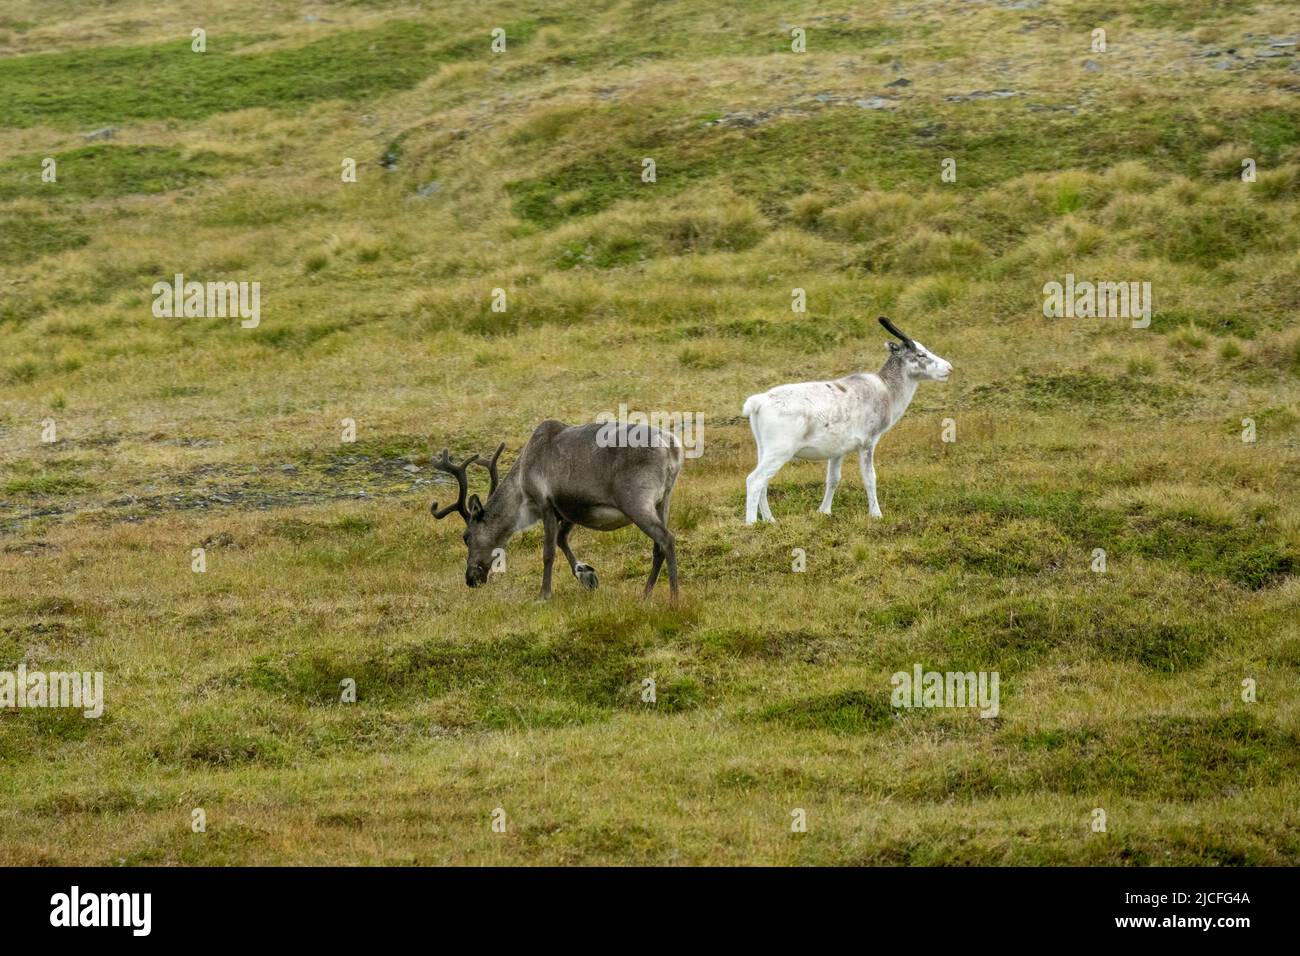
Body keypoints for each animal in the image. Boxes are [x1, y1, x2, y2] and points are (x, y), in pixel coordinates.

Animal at [431, 420, 683, 600]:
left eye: (466, 536)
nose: (470, 579)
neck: (521, 491)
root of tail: (671, 446)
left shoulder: (546, 504)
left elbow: (548, 552)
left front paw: (544, 594)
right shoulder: (570, 509)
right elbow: (562, 539)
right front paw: (586, 575)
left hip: (635, 502)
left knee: (667, 539)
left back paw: (674, 598)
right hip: (664, 500)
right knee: (658, 546)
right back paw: (646, 594)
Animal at [742, 317, 952, 524]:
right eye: (921, 354)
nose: (949, 367)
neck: (887, 391)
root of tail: (757, 402)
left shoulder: (837, 450)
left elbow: (833, 478)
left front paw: (824, 511)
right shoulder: (868, 441)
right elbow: (870, 477)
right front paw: (876, 514)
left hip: (763, 449)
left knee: (764, 482)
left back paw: (770, 520)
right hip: (780, 450)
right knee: (754, 480)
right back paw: (752, 523)